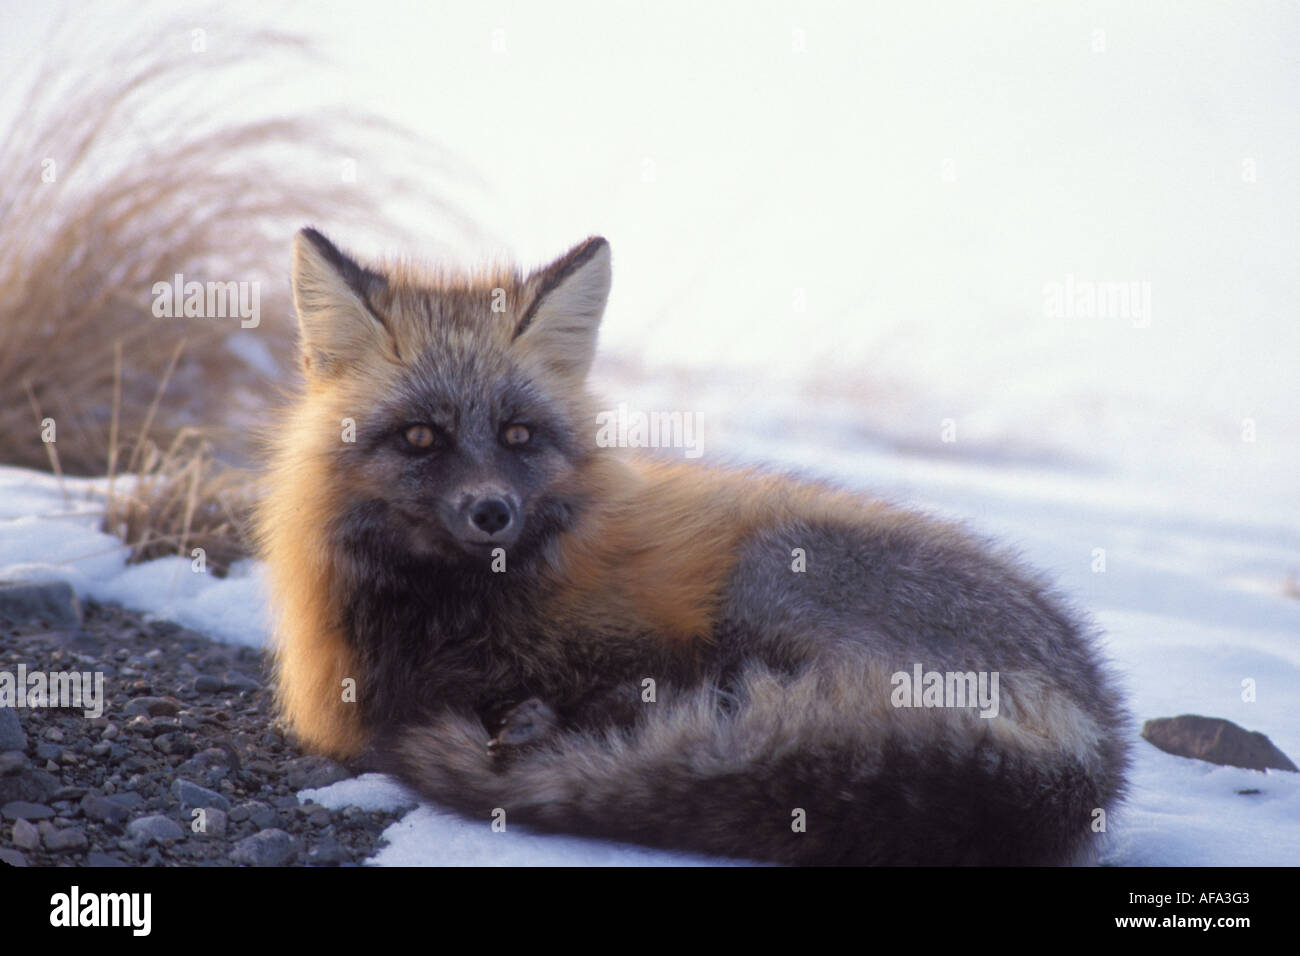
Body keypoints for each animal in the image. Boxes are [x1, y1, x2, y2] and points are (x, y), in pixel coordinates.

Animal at [257, 226, 1130, 865]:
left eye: (518, 435)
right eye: (420, 437)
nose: (492, 513)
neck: (453, 624)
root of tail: (1101, 733)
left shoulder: (662, 644)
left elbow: (641, 687)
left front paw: (555, 726)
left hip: (768, 579)